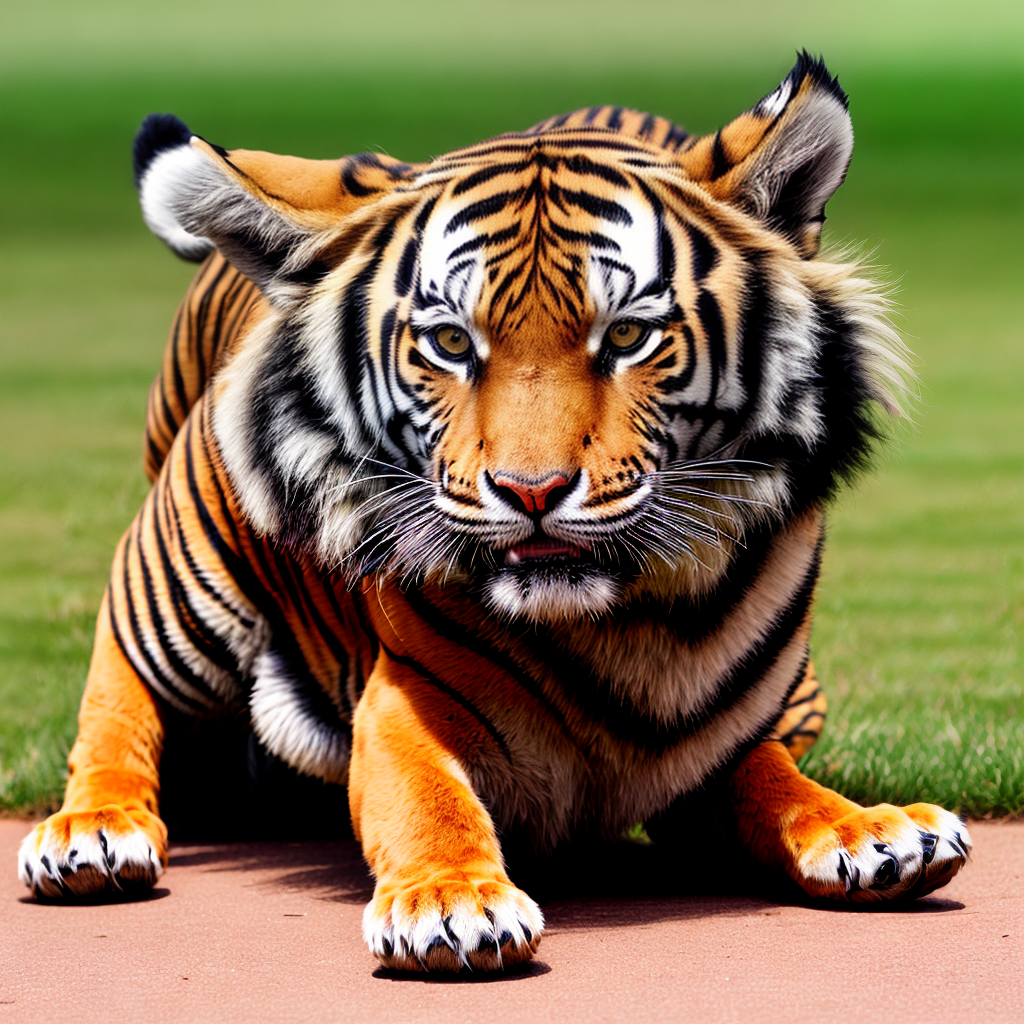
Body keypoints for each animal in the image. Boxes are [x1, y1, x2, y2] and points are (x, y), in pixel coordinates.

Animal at [19, 53, 971, 973]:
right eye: (450, 342)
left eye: (628, 336)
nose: (534, 491)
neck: (622, 627)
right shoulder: (402, 697)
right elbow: (428, 799)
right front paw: (451, 901)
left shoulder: (724, 741)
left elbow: (774, 777)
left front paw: (869, 829)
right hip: (180, 584)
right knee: (119, 690)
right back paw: (92, 833)